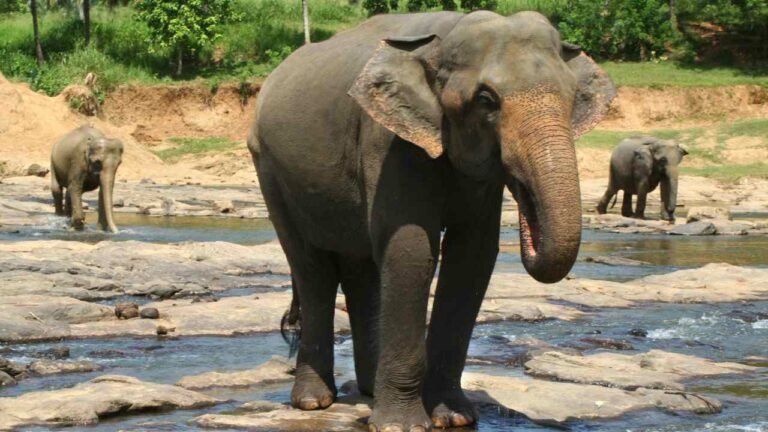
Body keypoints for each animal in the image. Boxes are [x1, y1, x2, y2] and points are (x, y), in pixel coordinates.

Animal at [249, 11, 615, 431]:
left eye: (572, 98)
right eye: (486, 100)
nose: (526, 206)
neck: (444, 38)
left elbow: (472, 257)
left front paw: (454, 417)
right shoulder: (390, 142)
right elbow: (410, 250)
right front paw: (400, 426)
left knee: (362, 271)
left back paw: (369, 391)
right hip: (270, 169)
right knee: (312, 269)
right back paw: (313, 402)